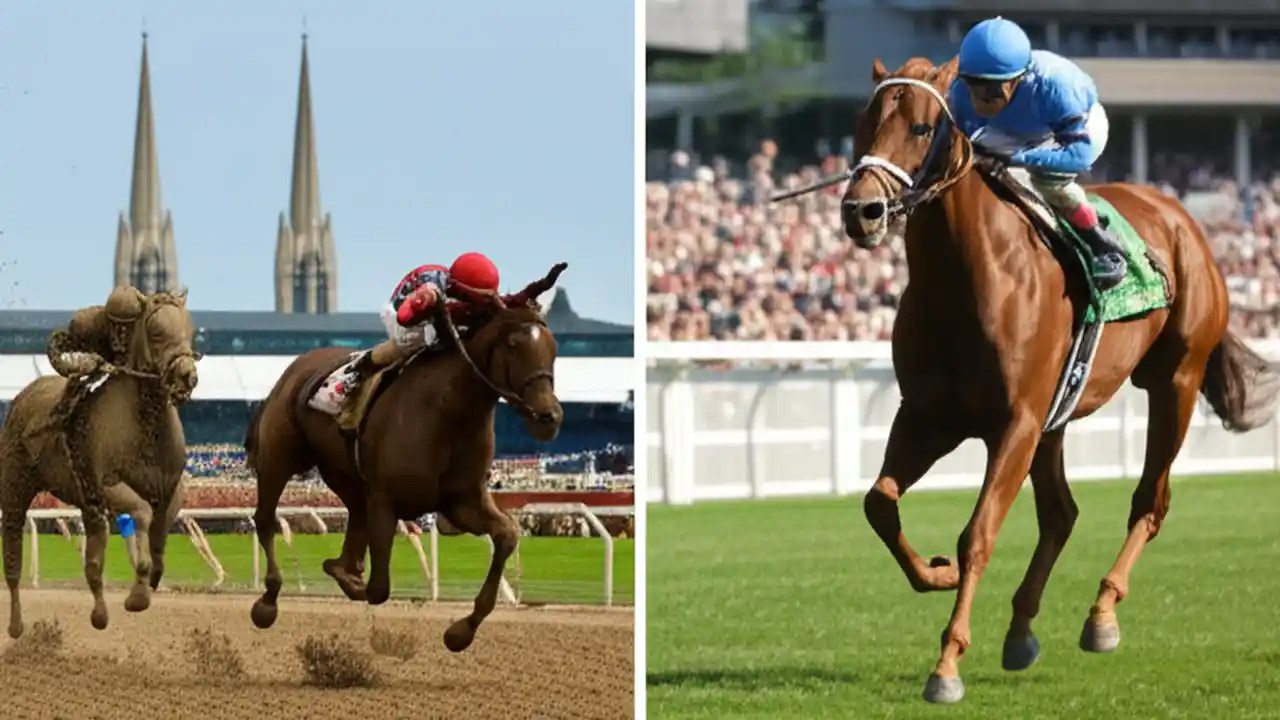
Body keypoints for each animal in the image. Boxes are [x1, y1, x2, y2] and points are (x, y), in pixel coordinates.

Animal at [0, 291, 199, 637]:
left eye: (190, 329)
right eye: (156, 333)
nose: (187, 377)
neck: (145, 425)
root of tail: (23, 396)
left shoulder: (172, 488)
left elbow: (160, 530)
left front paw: (153, 576)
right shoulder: (107, 485)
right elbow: (142, 514)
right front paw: (138, 595)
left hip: (86, 503)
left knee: (93, 562)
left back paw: (100, 615)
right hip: (15, 488)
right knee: (12, 550)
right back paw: (15, 625)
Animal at [243, 293, 564, 652]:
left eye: (553, 347)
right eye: (513, 344)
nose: (548, 416)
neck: (447, 413)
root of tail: (294, 368)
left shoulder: (461, 502)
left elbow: (507, 535)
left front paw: (462, 630)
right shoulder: (385, 499)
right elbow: (378, 588)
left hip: (341, 471)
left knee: (354, 513)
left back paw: (344, 566)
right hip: (279, 458)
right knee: (265, 519)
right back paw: (268, 600)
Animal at [825, 56, 1280, 703]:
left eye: (919, 127)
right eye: (863, 124)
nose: (860, 211)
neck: (967, 278)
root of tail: (1180, 217)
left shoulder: (1014, 423)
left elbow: (978, 533)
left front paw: (947, 665)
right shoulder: (928, 416)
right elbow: (878, 503)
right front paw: (938, 573)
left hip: (1175, 381)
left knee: (1150, 500)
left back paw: (1102, 614)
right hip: (1057, 418)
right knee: (1062, 514)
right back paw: (1021, 631)